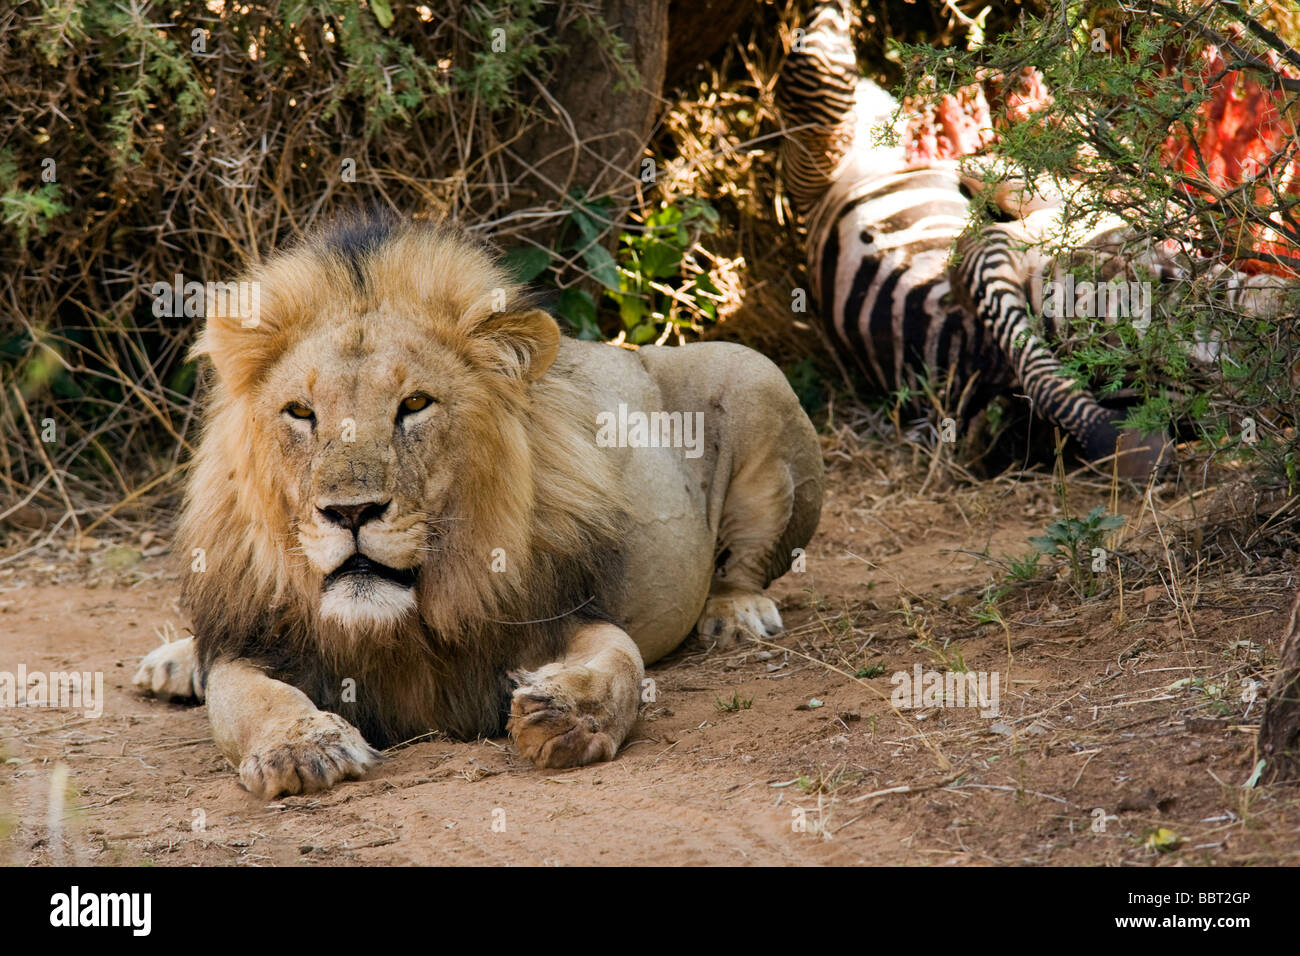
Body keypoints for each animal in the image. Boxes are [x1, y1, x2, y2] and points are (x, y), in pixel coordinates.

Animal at [133, 213, 823, 798]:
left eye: (414, 405)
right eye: (300, 413)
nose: (351, 513)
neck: (401, 620)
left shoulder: (558, 611)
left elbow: (621, 660)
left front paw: (564, 714)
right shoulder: (261, 642)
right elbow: (243, 697)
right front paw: (302, 747)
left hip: (756, 372)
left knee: (746, 565)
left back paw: (735, 614)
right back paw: (175, 663)